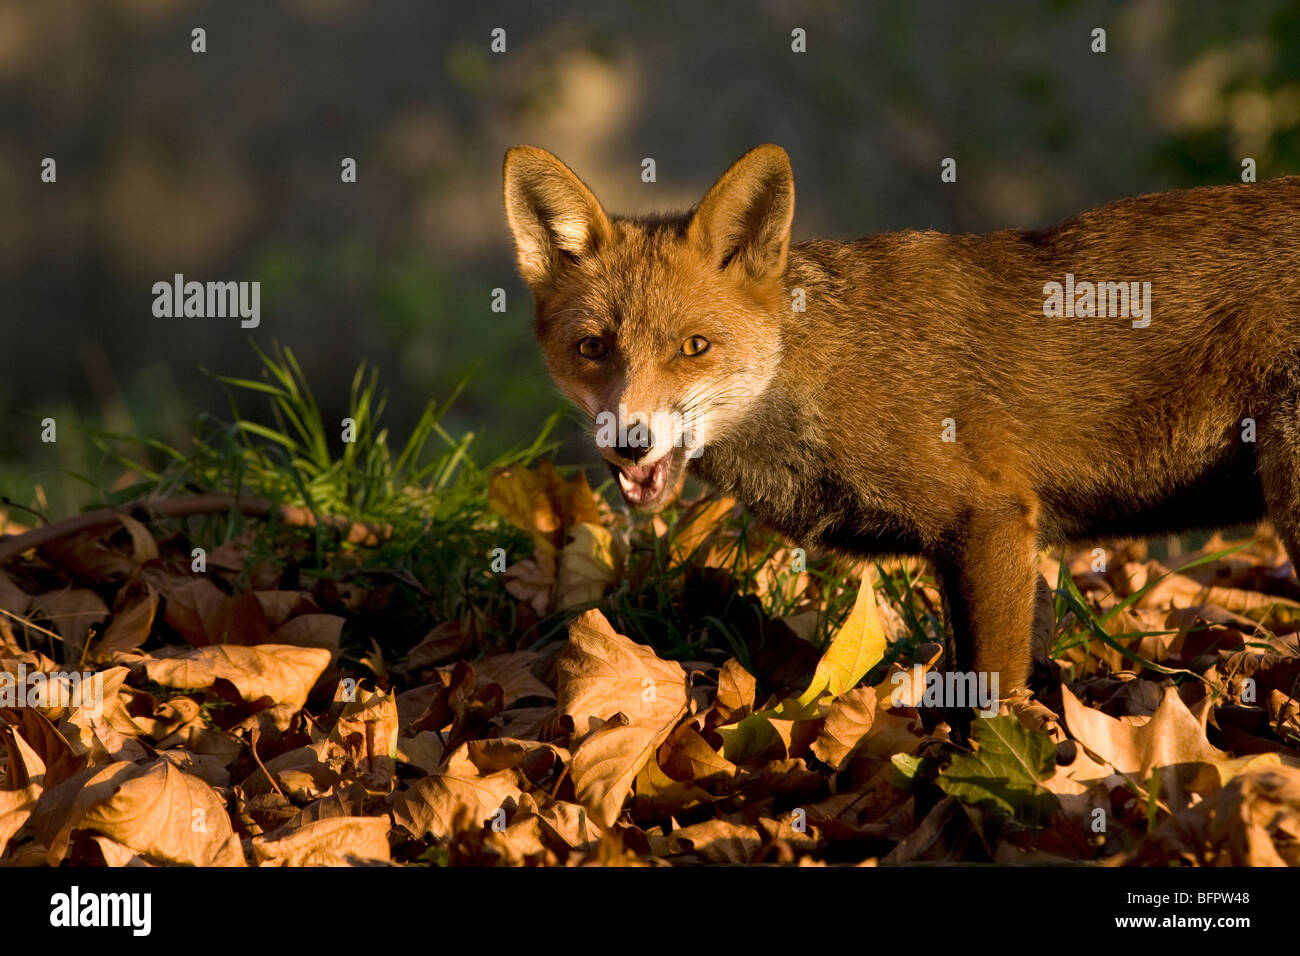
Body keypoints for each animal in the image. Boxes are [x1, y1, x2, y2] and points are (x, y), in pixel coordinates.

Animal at [502, 142, 1300, 706]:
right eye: (593, 349)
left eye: (694, 347)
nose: (627, 440)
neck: (818, 376)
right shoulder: (1013, 543)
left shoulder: (988, 520)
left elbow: (988, 698)